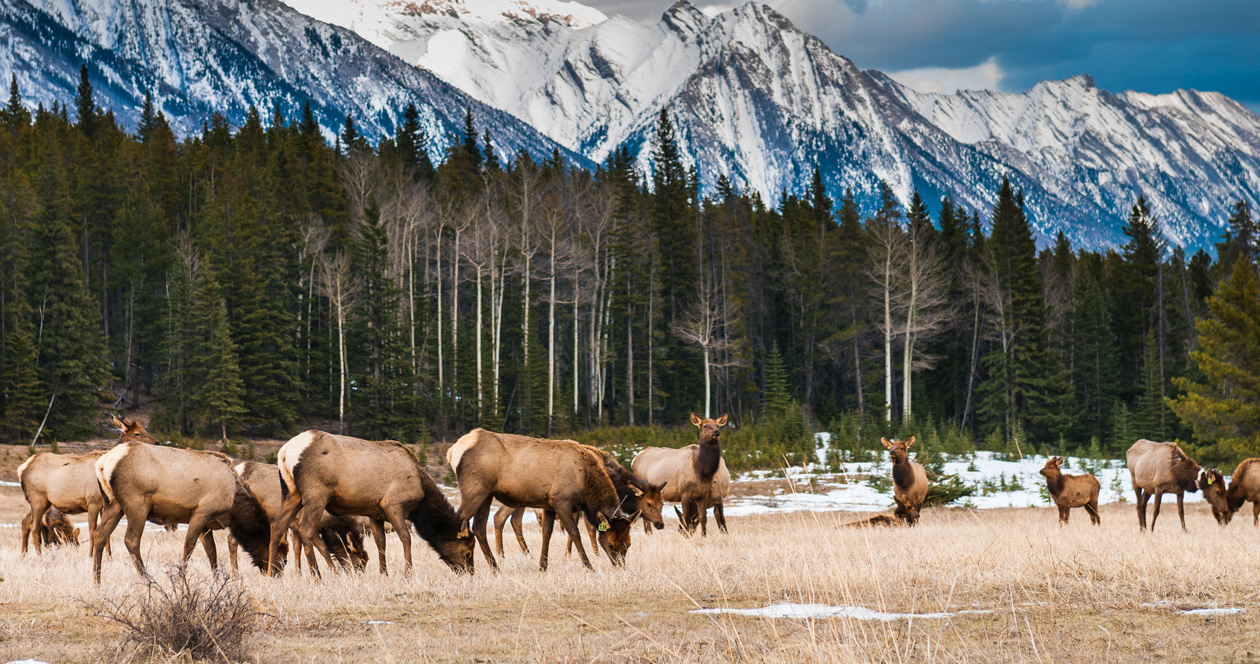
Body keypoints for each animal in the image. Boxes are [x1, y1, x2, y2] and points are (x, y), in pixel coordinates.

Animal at [268, 431, 474, 577]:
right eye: (468, 553)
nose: (470, 573)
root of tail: (284, 453)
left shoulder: (376, 512)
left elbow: (380, 542)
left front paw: (384, 573)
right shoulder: (393, 504)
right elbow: (405, 537)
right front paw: (408, 573)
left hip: (291, 493)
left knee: (277, 526)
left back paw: (271, 573)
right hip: (316, 494)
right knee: (305, 529)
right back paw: (318, 575)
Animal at [448, 429, 633, 571]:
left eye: (628, 544)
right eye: (611, 544)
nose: (620, 566)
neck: (586, 482)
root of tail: (452, 451)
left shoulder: (549, 505)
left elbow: (546, 533)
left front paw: (542, 566)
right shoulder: (561, 501)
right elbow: (574, 533)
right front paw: (589, 567)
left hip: (486, 495)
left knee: (479, 527)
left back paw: (495, 568)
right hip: (475, 490)